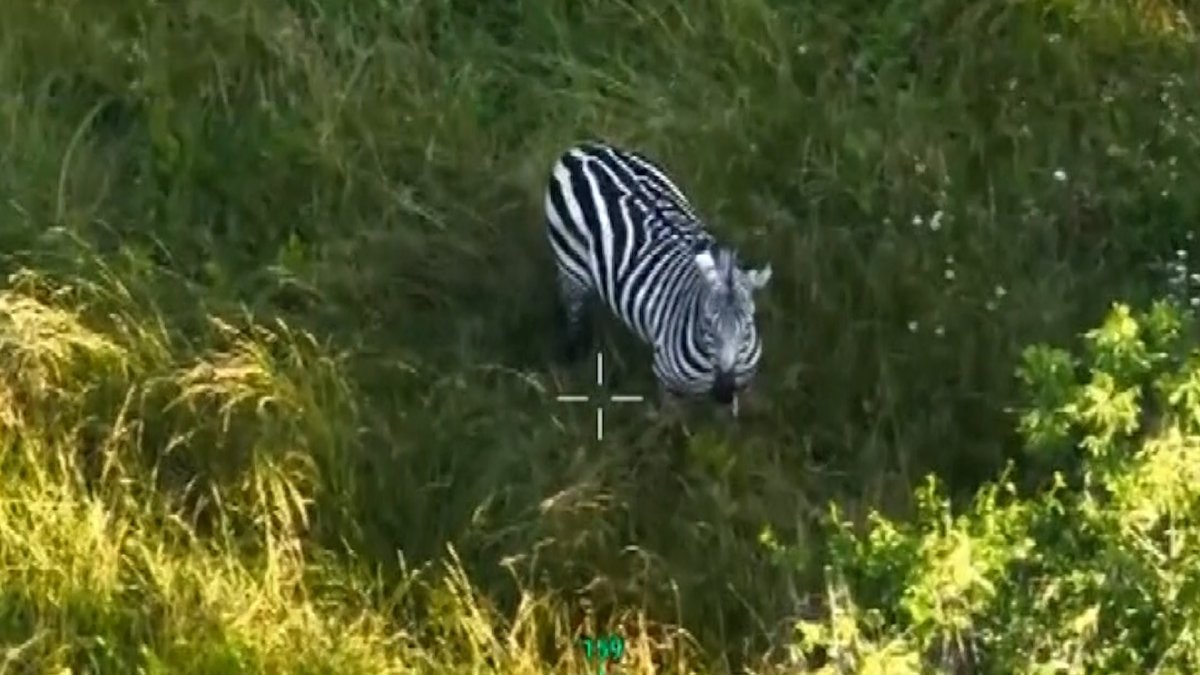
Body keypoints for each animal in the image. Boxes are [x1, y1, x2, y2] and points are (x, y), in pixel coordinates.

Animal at [543, 140, 772, 417]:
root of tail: (580, 150)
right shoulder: (667, 383)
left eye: (747, 326)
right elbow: (673, 422)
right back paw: (574, 356)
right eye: (707, 325)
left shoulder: (743, 384)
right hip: (571, 263)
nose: (723, 392)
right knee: (574, 313)